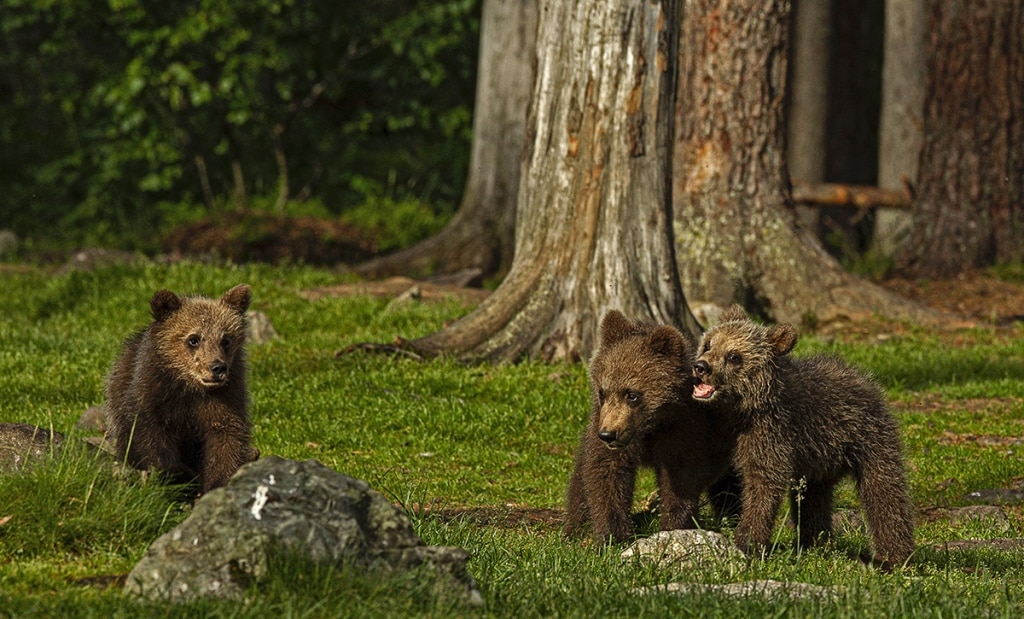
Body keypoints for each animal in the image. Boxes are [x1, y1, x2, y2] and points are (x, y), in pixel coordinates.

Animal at [104, 284, 259, 496]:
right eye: (193, 339)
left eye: (226, 340)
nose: (217, 368)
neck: (190, 388)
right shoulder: (152, 397)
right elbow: (149, 439)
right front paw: (180, 477)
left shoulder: (225, 399)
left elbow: (226, 439)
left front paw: (215, 484)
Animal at [564, 310, 739, 544]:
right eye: (603, 392)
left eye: (632, 394)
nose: (608, 434)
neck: (650, 425)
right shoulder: (606, 425)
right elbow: (606, 473)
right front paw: (612, 535)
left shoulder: (682, 428)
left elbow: (681, 477)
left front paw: (674, 526)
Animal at [691, 305, 915, 568]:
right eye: (708, 344)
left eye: (734, 356)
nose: (701, 366)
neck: (738, 410)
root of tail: (865, 378)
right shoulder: (718, 432)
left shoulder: (771, 433)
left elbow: (763, 483)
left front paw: (747, 541)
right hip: (820, 460)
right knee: (814, 500)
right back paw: (815, 542)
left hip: (869, 437)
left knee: (884, 491)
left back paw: (892, 557)